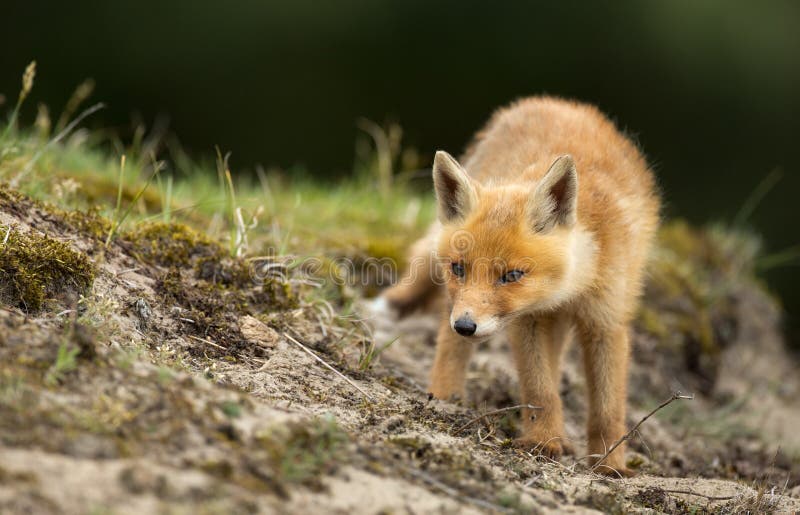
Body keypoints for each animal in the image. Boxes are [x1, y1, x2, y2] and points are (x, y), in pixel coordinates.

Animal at [383, 96, 660, 476]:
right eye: (459, 268)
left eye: (512, 276)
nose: (466, 326)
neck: (575, 282)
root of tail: (552, 101)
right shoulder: (529, 320)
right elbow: (540, 390)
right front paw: (543, 442)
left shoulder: (606, 319)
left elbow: (608, 408)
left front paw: (609, 464)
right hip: (465, 307)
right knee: (449, 348)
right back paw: (443, 399)